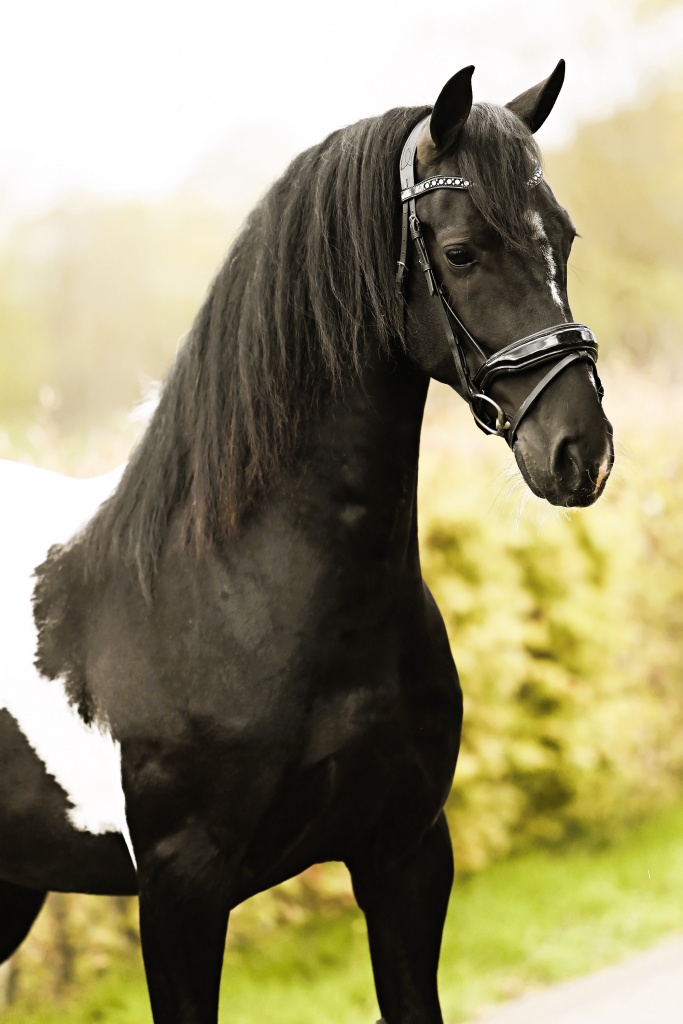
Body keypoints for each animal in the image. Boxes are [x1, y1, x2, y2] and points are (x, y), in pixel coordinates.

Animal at [0, 61, 613, 1023]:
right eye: (462, 251)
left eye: (562, 237)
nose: (580, 451)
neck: (232, 594)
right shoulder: (180, 896)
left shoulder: (405, 858)